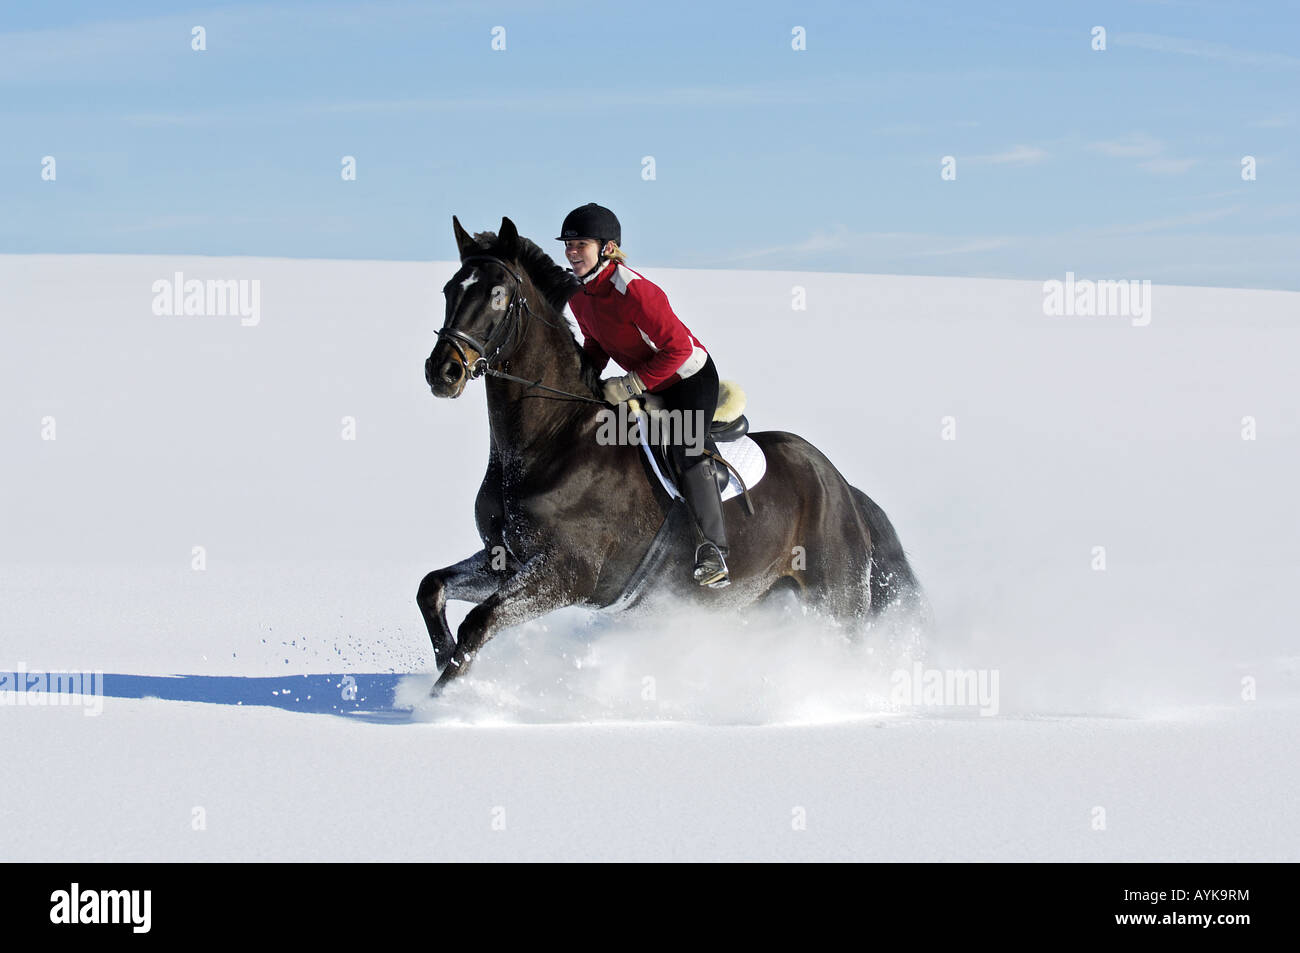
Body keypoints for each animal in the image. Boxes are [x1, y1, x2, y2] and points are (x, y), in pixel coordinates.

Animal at [419, 216, 923, 693]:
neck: (549, 441)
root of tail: (839, 484)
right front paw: (442, 661)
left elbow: (478, 622)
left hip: (836, 595)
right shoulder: (506, 559)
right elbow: (432, 587)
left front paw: (441, 702)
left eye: (498, 295)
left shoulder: (568, 572)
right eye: (449, 289)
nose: (442, 371)